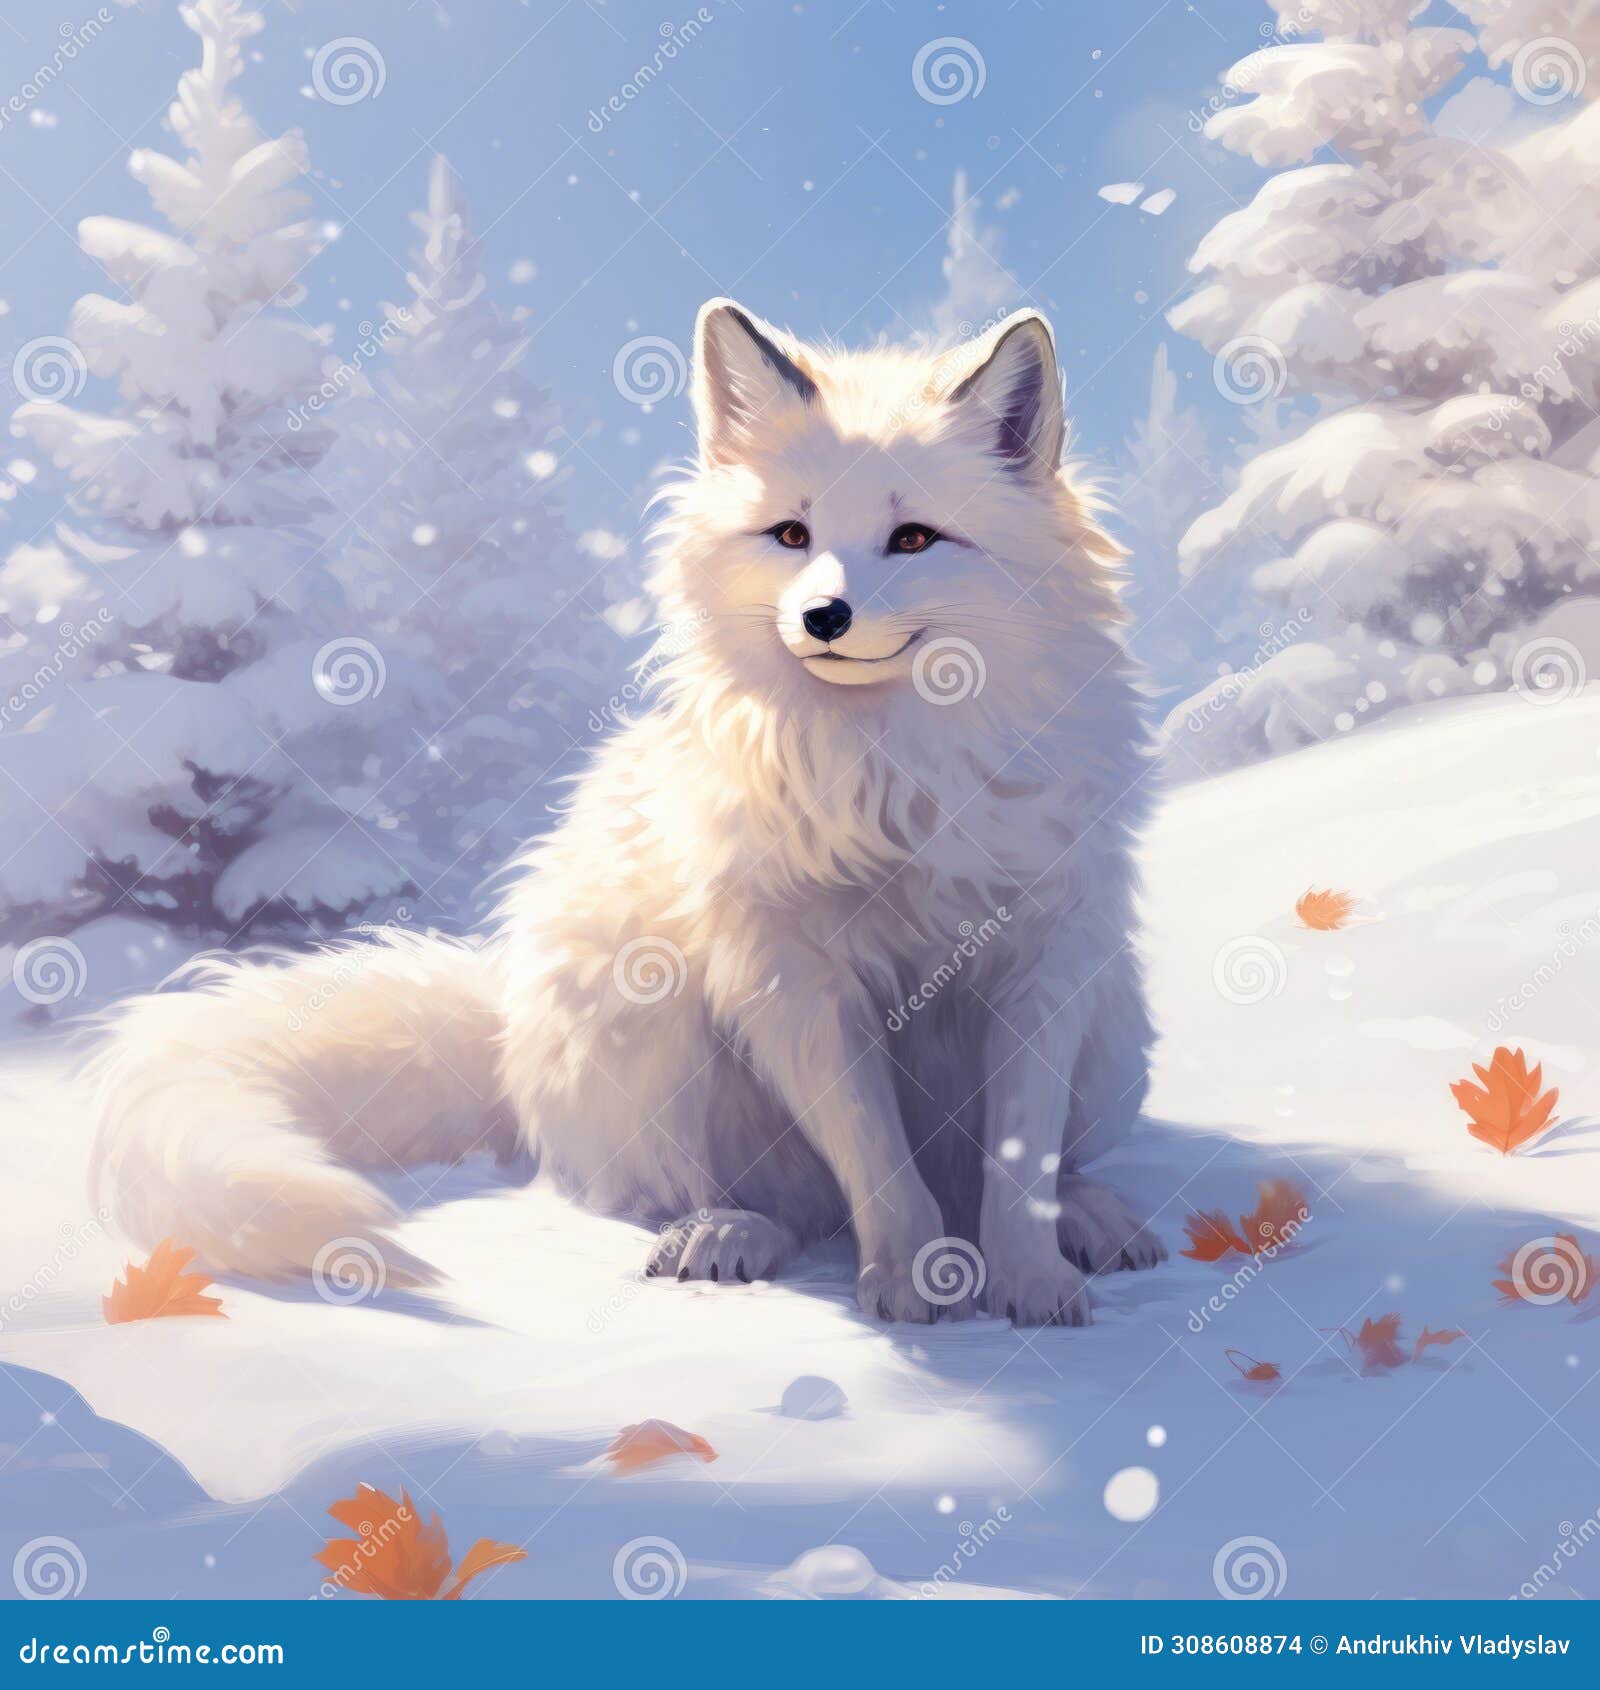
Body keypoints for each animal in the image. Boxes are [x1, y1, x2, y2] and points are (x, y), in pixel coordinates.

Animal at [89, 299, 1165, 1326]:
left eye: (913, 538)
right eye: (792, 535)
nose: (823, 618)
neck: (893, 769)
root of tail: (506, 1022)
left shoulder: (1045, 952)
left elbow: (1018, 1162)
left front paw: (1026, 1280)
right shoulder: (792, 977)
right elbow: (876, 1157)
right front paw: (914, 1277)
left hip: (1111, 1019)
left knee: (1018, 1168)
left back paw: (1094, 1217)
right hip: (649, 1020)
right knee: (731, 1199)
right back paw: (725, 1233)